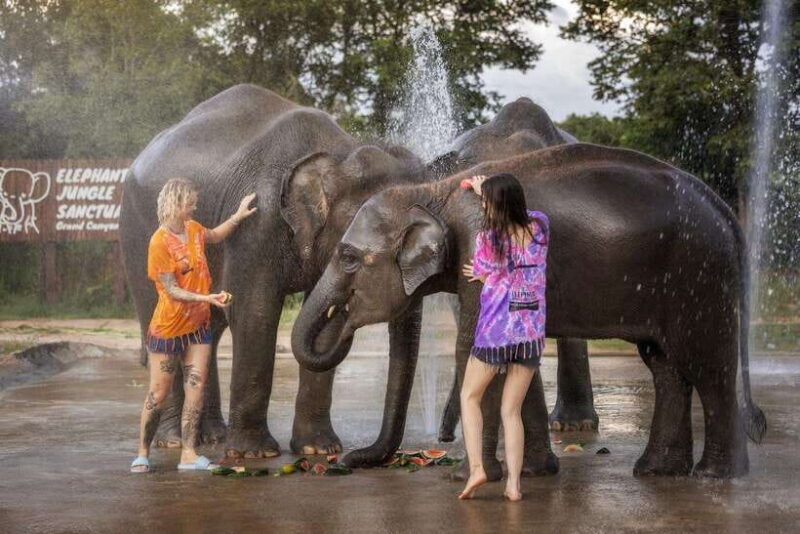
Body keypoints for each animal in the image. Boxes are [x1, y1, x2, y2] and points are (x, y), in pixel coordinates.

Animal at [120, 83, 431, 458]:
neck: (338, 153)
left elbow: (320, 324)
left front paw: (318, 450)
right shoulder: (257, 226)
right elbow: (255, 312)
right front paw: (254, 454)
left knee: (208, 328)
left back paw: (211, 437)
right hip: (139, 236)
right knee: (165, 324)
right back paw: (175, 441)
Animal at [292, 142, 767, 478]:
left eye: (348, 258)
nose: (347, 460)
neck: (434, 193)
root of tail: (724, 210)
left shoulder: (484, 249)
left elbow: (480, 352)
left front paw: (470, 477)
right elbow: (518, 355)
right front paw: (536, 472)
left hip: (701, 274)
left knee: (706, 364)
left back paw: (715, 476)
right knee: (665, 367)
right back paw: (657, 472)